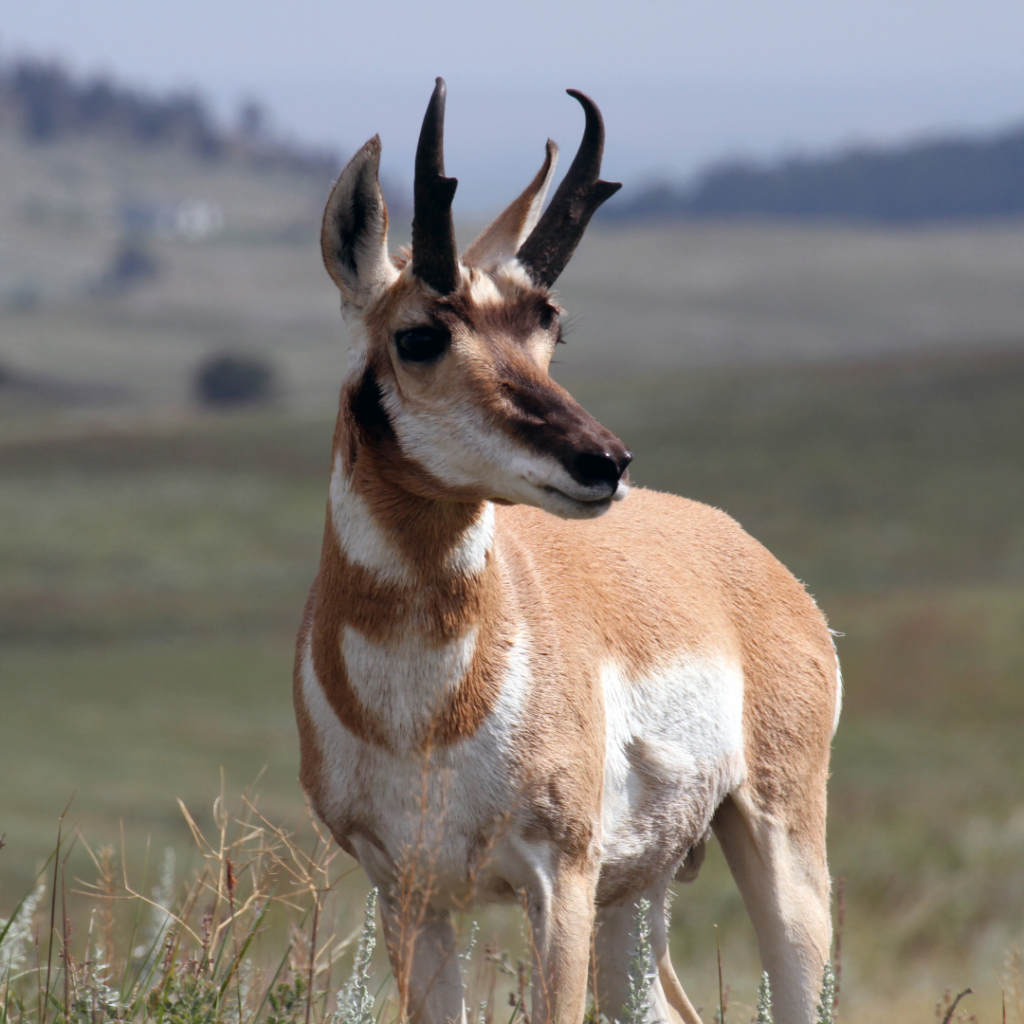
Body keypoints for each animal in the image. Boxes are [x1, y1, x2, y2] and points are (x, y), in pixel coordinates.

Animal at [294, 79, 840, 1024]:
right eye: (418, 336)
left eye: (548, 327)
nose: (605, 461)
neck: (421, 715)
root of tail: (754, 558)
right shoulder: (410, 896)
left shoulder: (561, 877)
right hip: (639, 896)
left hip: (775, 840)